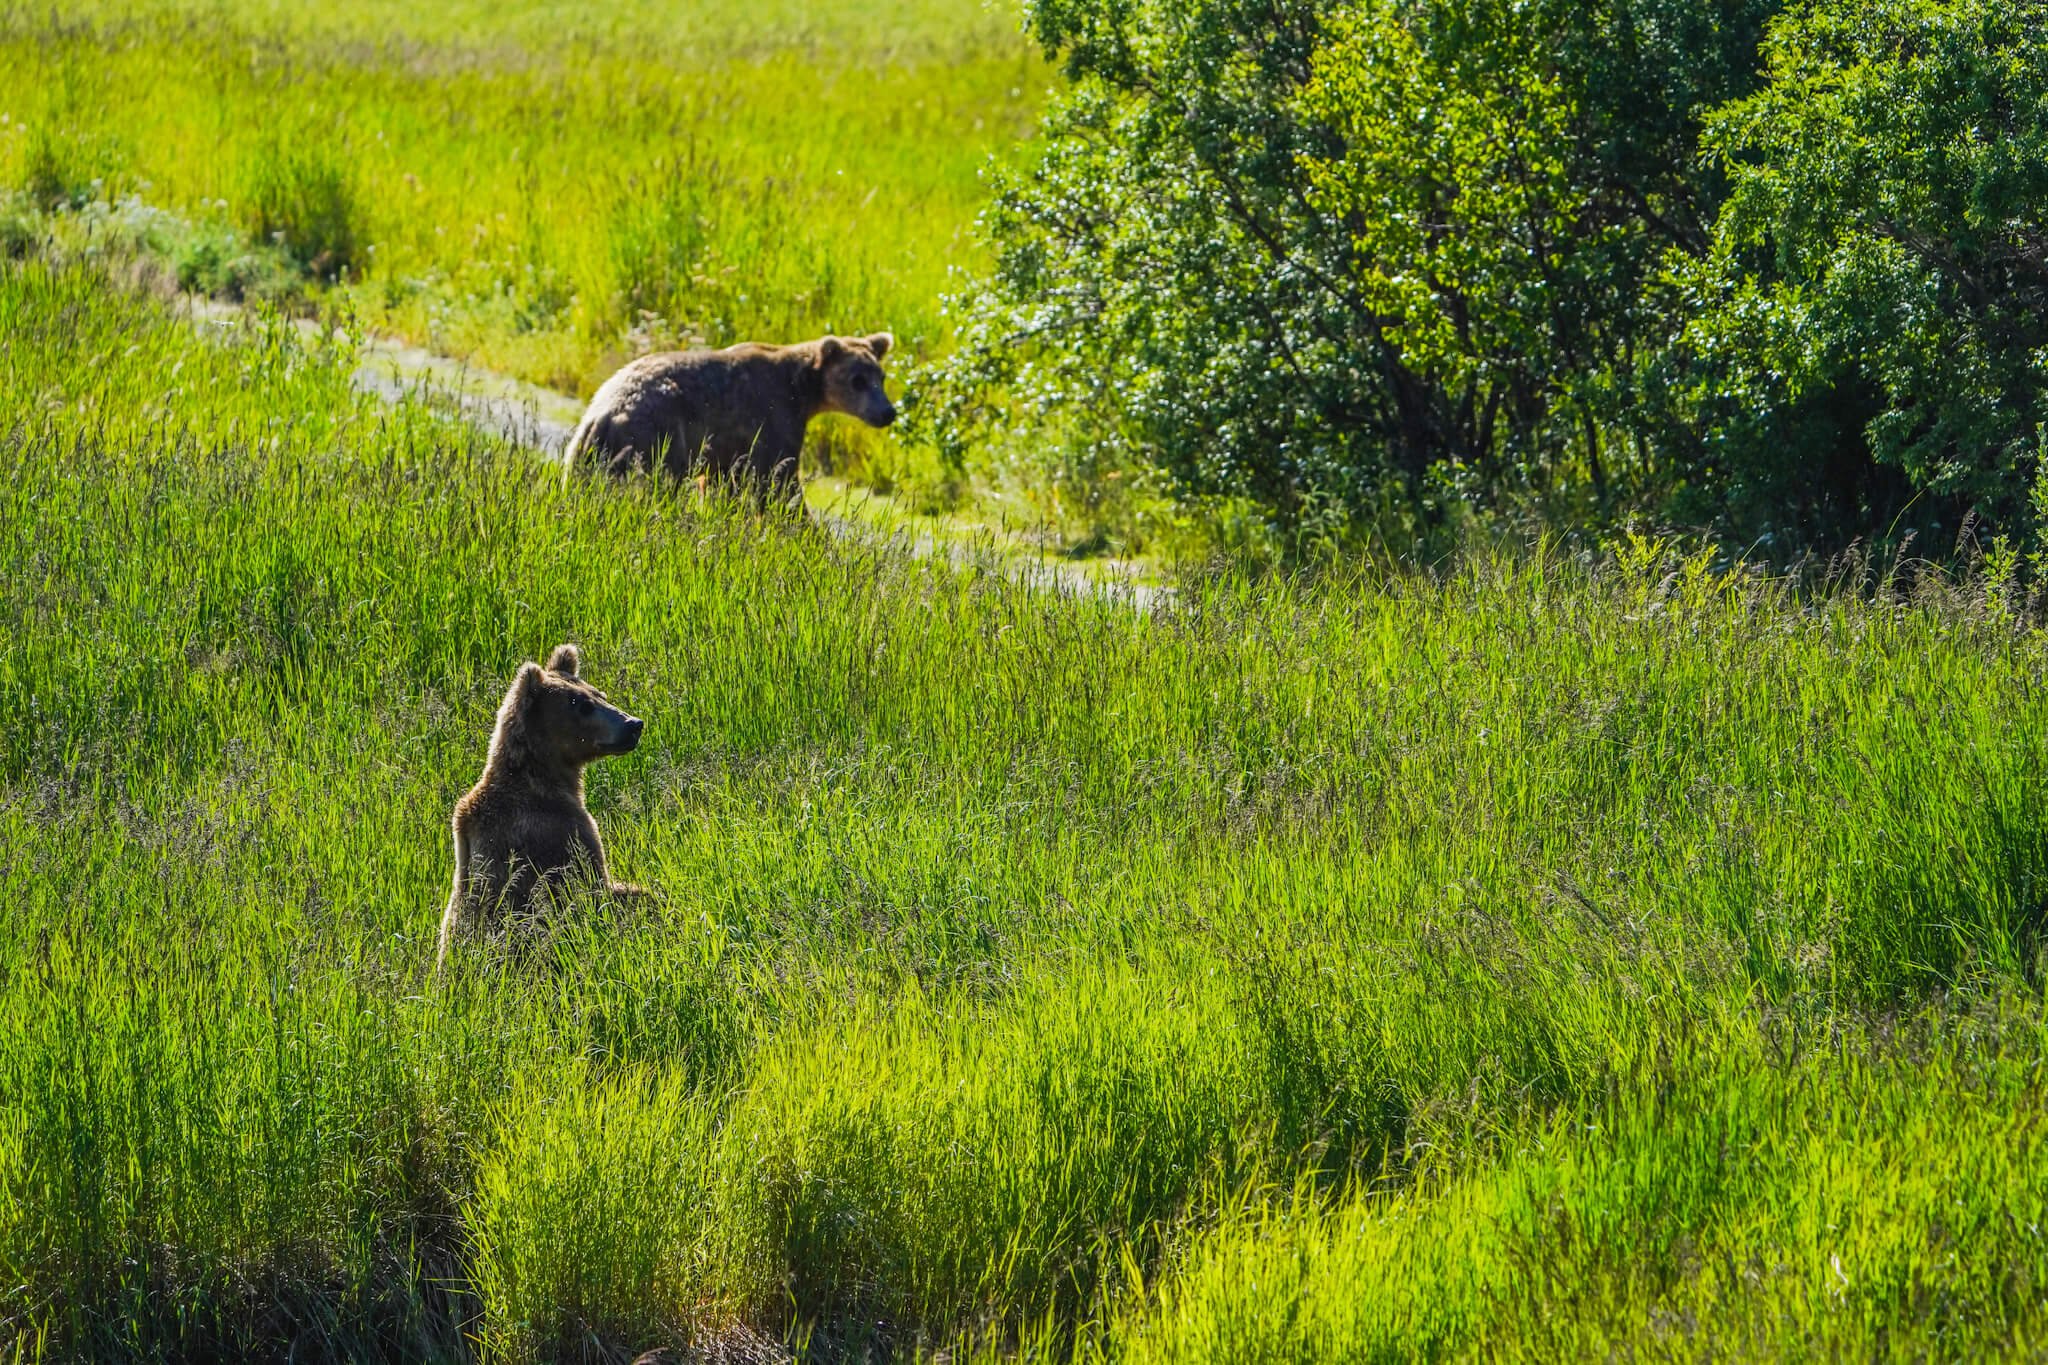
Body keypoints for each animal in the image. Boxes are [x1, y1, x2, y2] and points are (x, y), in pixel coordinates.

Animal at [437, 643, 646, 968]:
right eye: (582, 704)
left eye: (600, 694)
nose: (633, 725)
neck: (544, 776)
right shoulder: (558, 833)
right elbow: (594, 882)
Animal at [563, 332, 897, 502]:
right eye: (857, 380)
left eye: (880, 377)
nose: (887, 412)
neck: (803, 391)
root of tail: (602, 415)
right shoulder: (772, 416)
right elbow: (778, 481)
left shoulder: (729, 448)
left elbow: (723, 482)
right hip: (657, 436)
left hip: (588, 453)